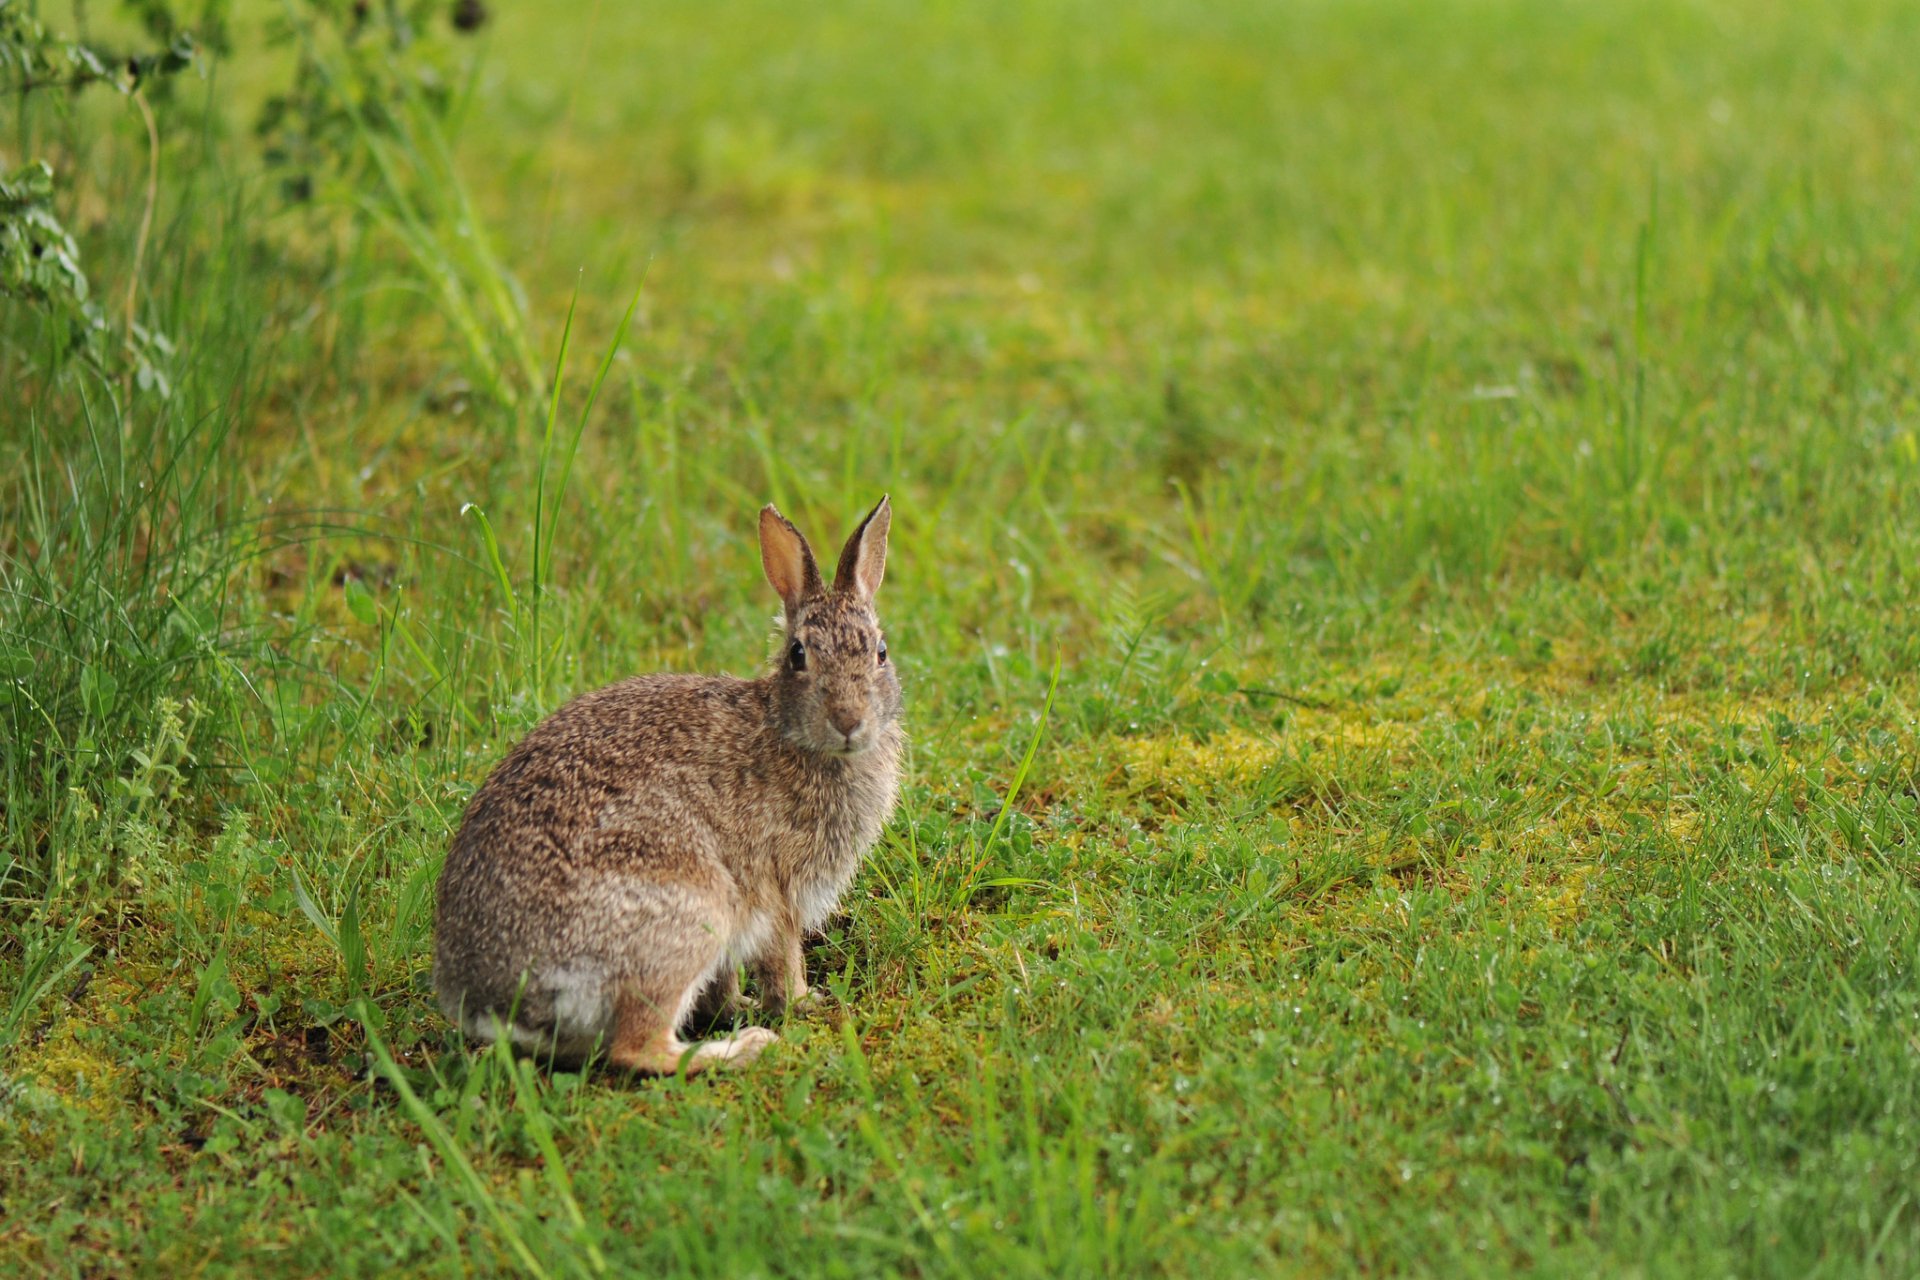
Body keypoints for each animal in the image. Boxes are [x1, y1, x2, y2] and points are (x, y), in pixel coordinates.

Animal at [433, 496, 902, 1074]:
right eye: (798, 655)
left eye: (880, 653)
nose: (849, 721)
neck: (788, 730)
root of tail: (492, 1003)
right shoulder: (777, 891)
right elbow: (783, 957)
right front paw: (802, 1003)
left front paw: (741, 1005)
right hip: (689, 916)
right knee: (639, 1047)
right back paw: (747, 1048)